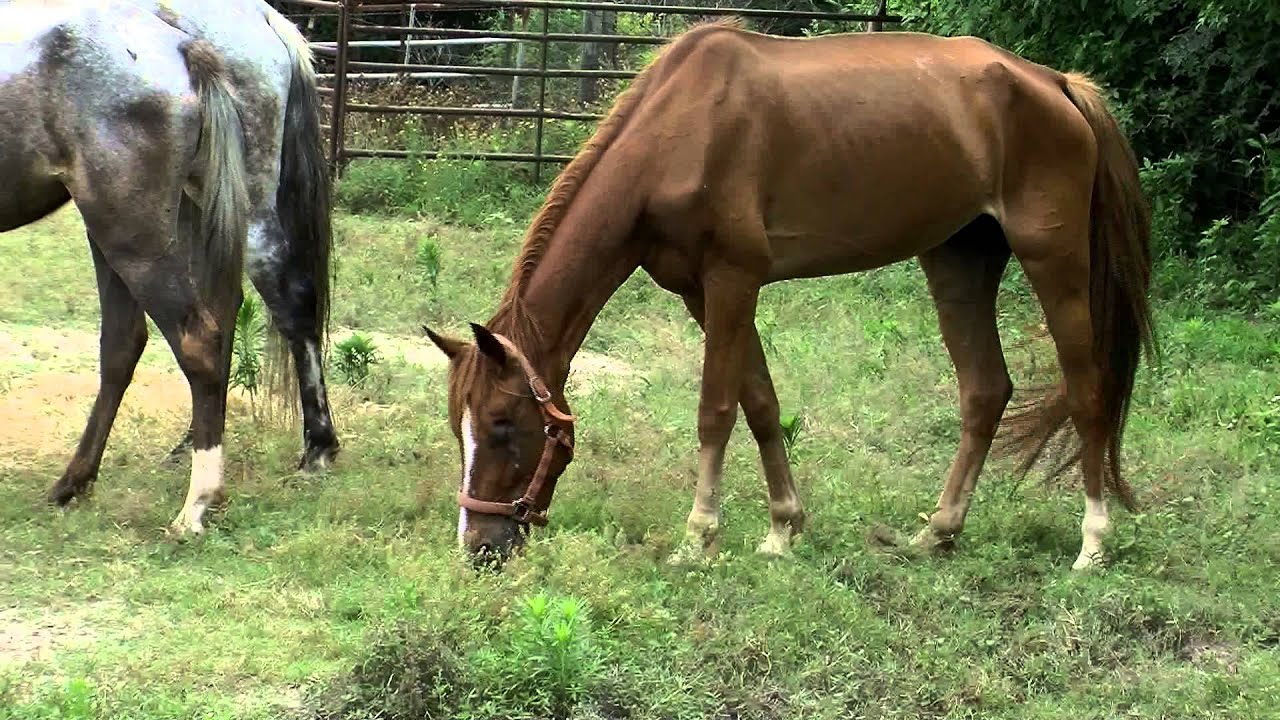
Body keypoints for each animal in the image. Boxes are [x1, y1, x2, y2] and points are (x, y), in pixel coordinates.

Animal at [423, 19, 1156, 570]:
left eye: (501, 424)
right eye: (459, 426)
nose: (478, 547)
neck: (680, 133)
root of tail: (1056, 85)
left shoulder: (732, 279)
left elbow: (715, 409)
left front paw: (699, 537)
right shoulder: (702, 292)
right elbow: (761, 403)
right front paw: (782, 529)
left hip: (1053, 260)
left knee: (1087, 390)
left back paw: (1093, 544)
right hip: (958, 260)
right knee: (985, 389)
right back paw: (937, 532)